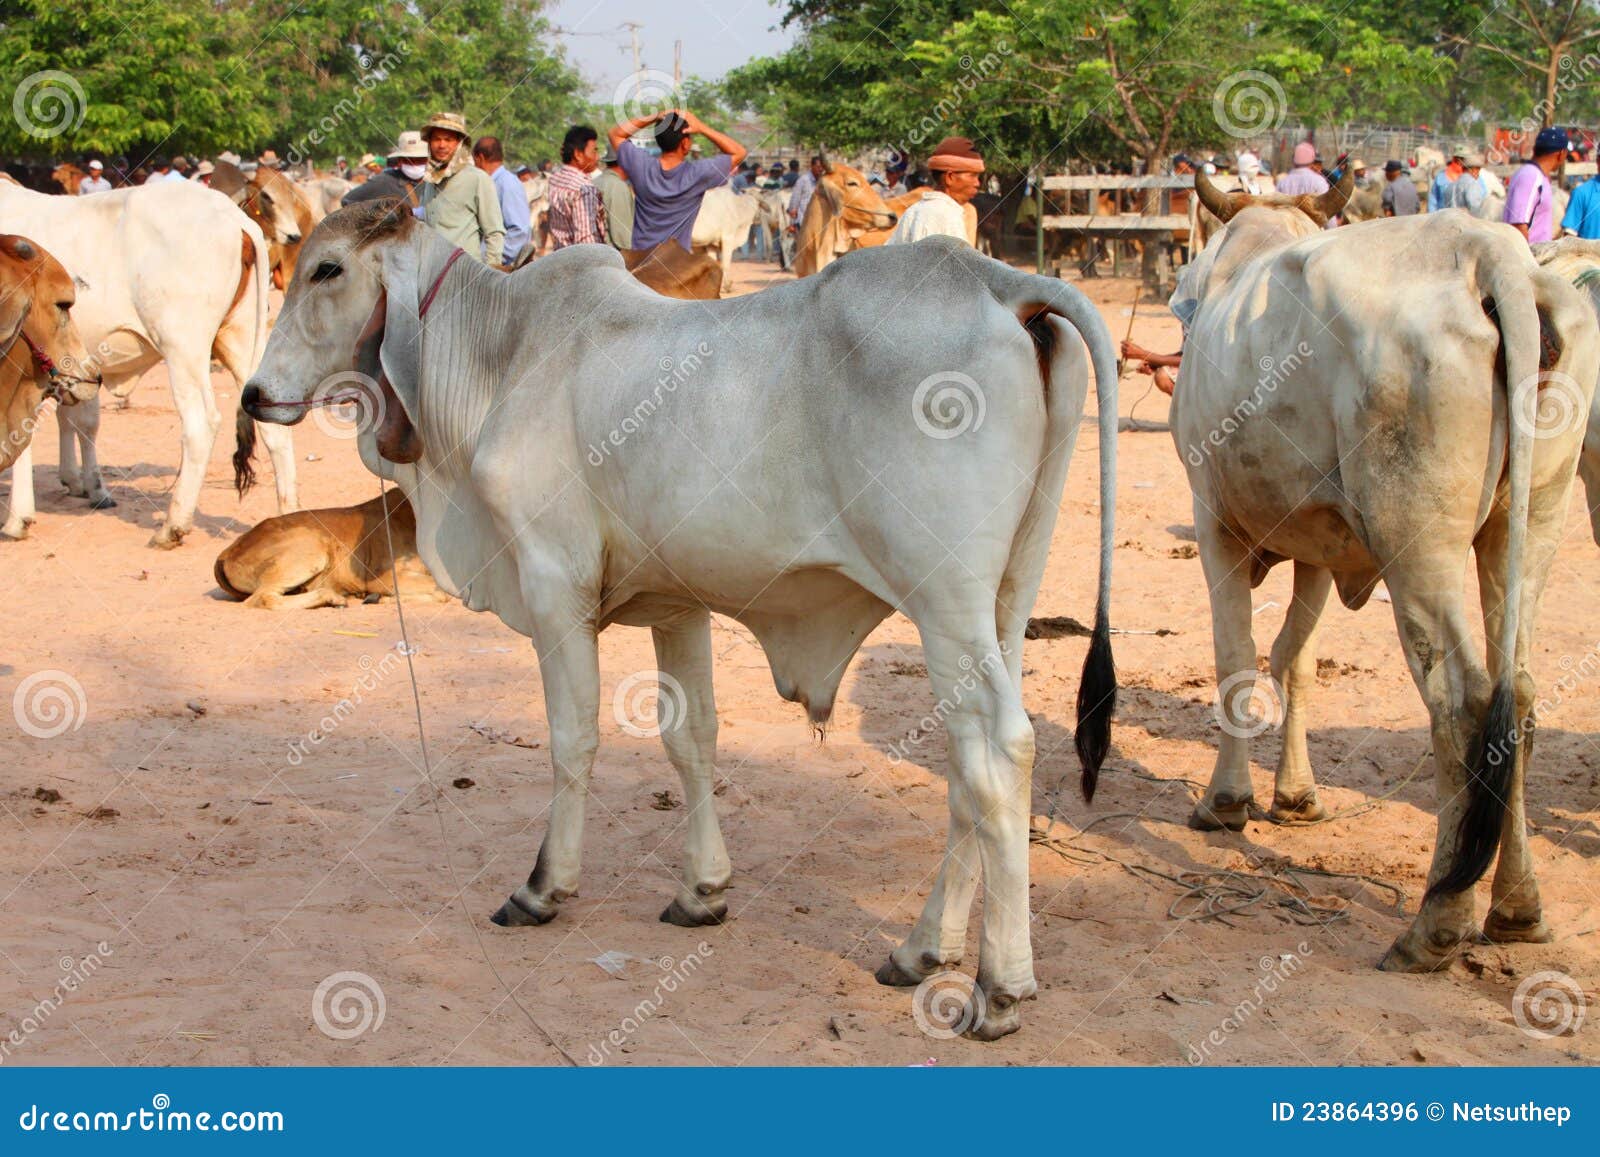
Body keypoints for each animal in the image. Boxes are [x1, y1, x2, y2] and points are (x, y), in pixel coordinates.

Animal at [214, 489, 446, 610]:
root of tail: (226, 553)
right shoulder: (384, 576)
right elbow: (441, 591)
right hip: (312, 547)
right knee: (263, 598)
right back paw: (334, 598)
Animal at [240, 200, 1120, 1040]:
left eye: (326, 268)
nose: (252, 393)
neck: (503, 351)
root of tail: (999, 282)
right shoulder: (679, 603)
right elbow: (691, 739)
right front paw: (703, 889)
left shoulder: (554, 584)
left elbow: (573, 738)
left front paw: (543, 885)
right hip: (1002, 603)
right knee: (971, 768)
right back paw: (921, 949)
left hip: (945, 602)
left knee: (998, 753)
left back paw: (998, 987)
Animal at [1177, 171, 1599, 973]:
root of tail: (1489, 255)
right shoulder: (1319, 544)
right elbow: (1296, 659)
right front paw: (1296, 795)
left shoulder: (1214, 521)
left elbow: (1236, 657)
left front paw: (1227, 800)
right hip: (1534, 520)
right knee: (1519, 694)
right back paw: (1516, 907)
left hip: (1417, 541)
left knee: (1463, 700)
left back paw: (1436, 923)